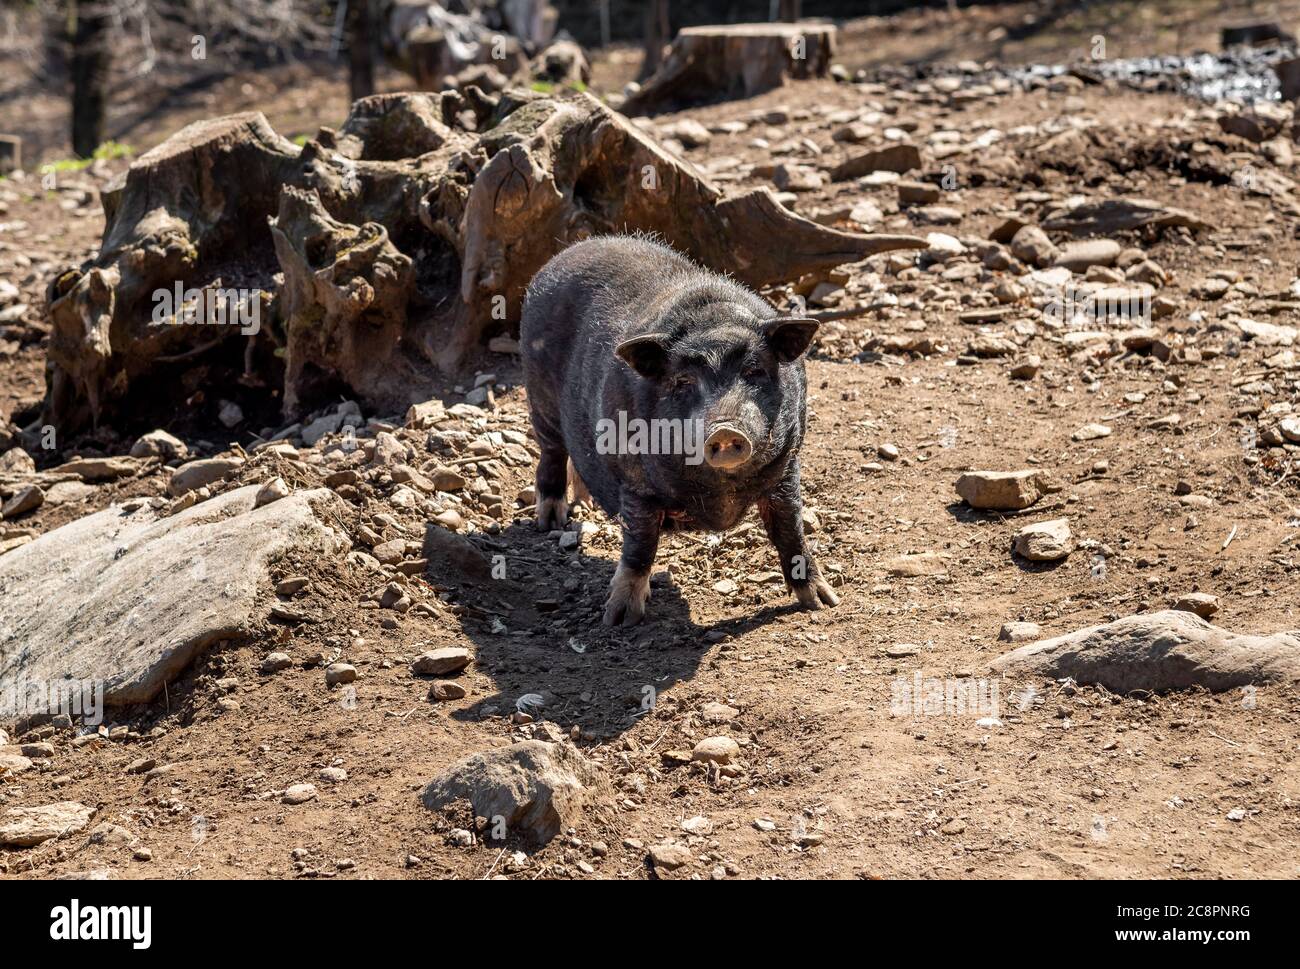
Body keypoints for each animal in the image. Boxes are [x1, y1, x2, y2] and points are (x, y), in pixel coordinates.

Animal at [520, 235, 840, 626]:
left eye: (755, 371)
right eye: (684, 381)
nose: (725, 429)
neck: (721, 494)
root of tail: (564, 254)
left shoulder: (788, 464)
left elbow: (790, 530)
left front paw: (824, 602)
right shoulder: (636, 482)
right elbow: (640, 546)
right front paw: (619, 618)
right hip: (540, 399)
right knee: (551, 453)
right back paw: (551, 522)